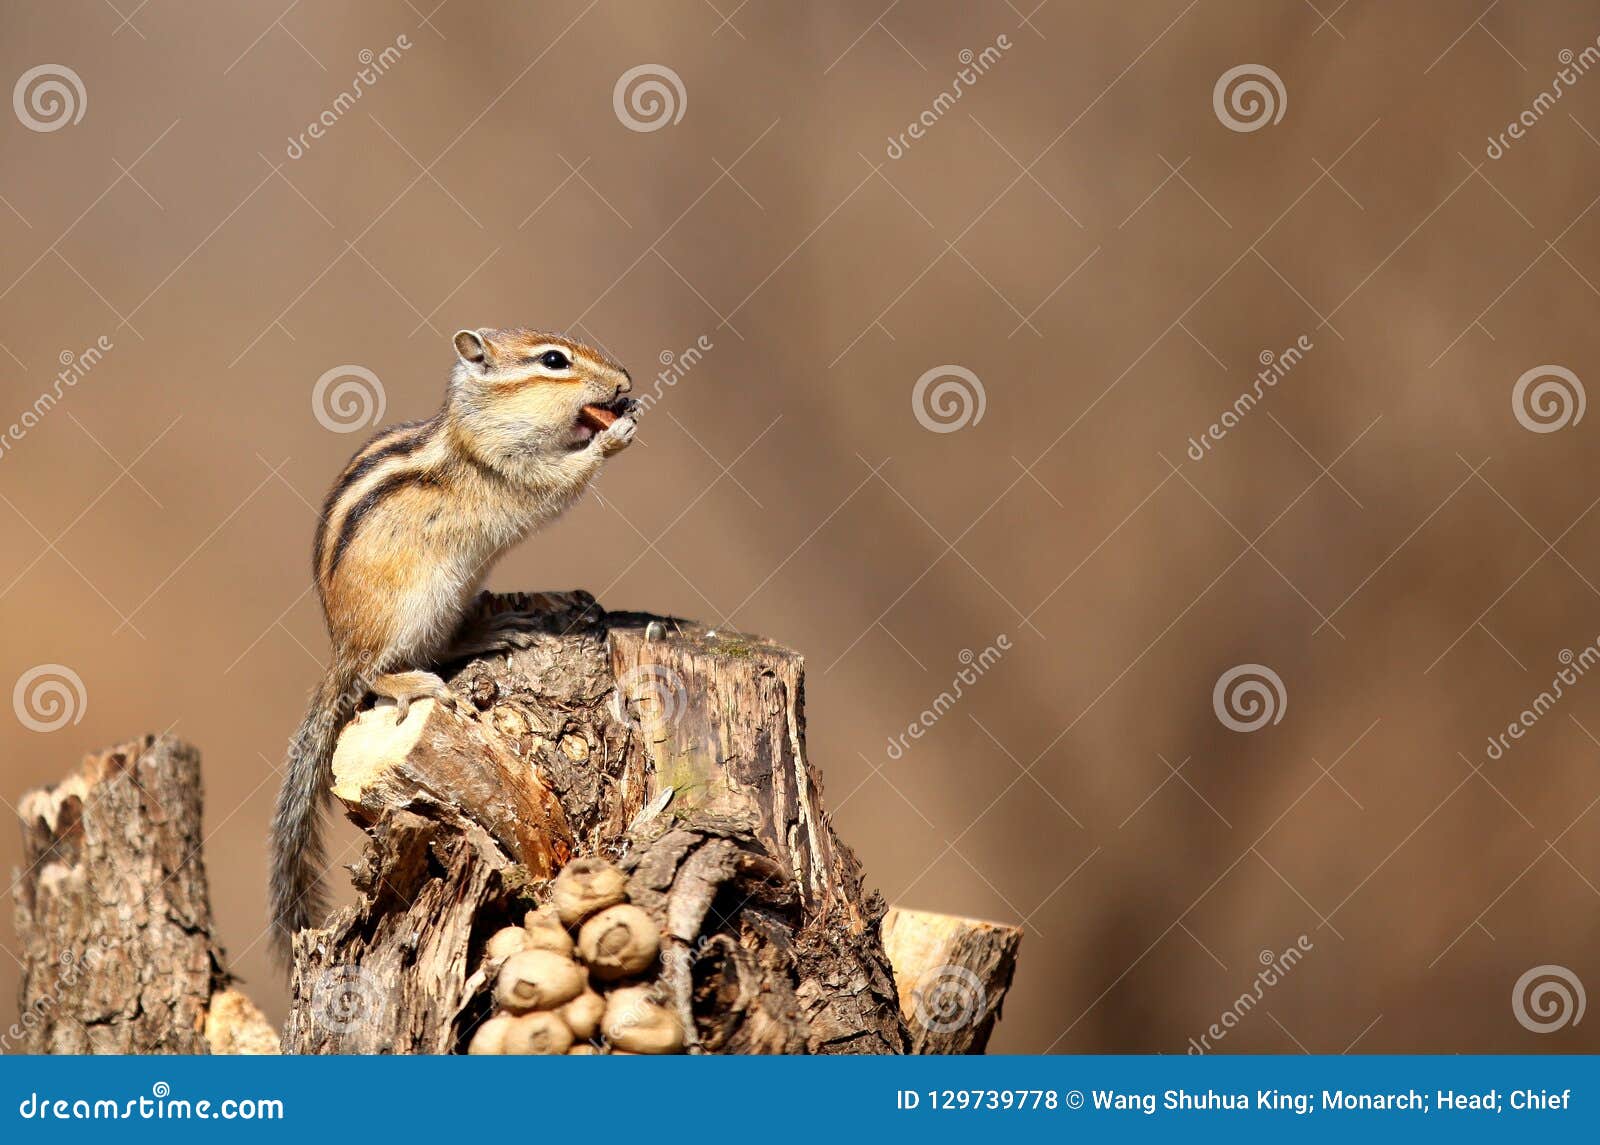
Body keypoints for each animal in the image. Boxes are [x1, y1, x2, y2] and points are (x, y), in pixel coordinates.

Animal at [269, 327, 638, 960]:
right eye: (554, 361)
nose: (625, 383)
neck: (476, 422)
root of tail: (341, 646)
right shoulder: (510, 469)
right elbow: (560, 480)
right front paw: (612, 438)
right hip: (410, 611)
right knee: (376, 673)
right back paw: (411, 682)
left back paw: (494, 627)